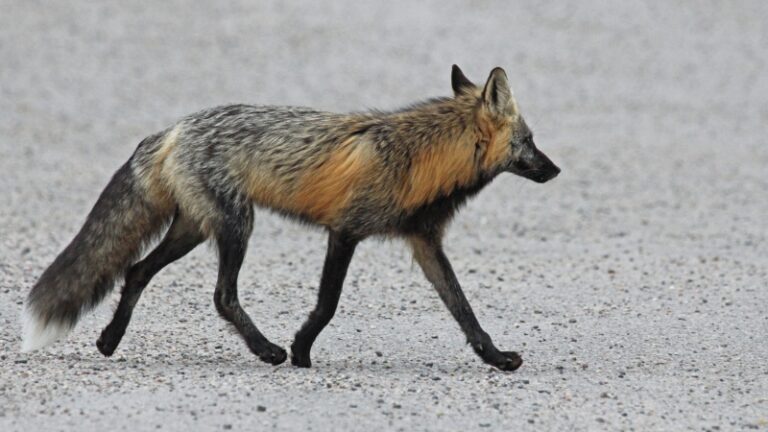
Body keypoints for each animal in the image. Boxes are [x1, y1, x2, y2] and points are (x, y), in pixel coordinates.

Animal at [22, 65, 560, 371]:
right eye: (531, 141)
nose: (556, 170)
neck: (419, 159)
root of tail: (173, 129)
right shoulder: (345, 231)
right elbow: (327, 304)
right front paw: (301, 351)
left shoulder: (424, 240)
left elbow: (464, 310)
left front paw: (495, 358)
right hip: (237, 226)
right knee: (221, 296)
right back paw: (268, 351)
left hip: (193, 230)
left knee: (134, 271)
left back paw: (109, 341)